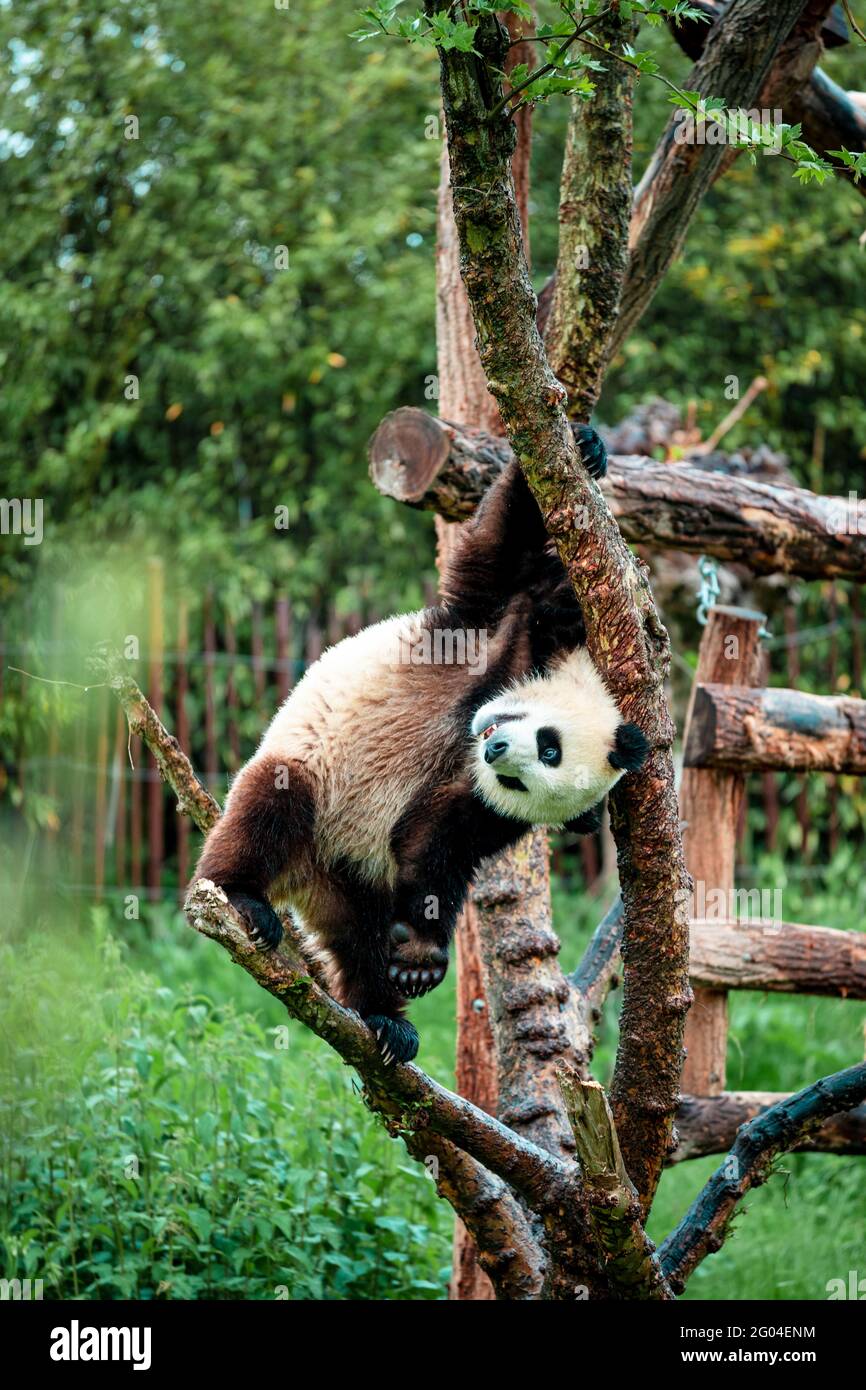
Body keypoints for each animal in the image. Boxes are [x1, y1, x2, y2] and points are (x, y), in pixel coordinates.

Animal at [193, 429, 648, 1064]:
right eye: (550, 745)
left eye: (526, 777)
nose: (496, 753)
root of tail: (301, 876)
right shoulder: (487, 626)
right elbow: (503, 551)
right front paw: (585, 448)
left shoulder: (479, 803)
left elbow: (434, 842)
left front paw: (420, 957)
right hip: (308, 780)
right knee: (268, 810)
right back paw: (242, 899)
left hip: (351, 876)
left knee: (359, 935)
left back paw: (385, 1017)